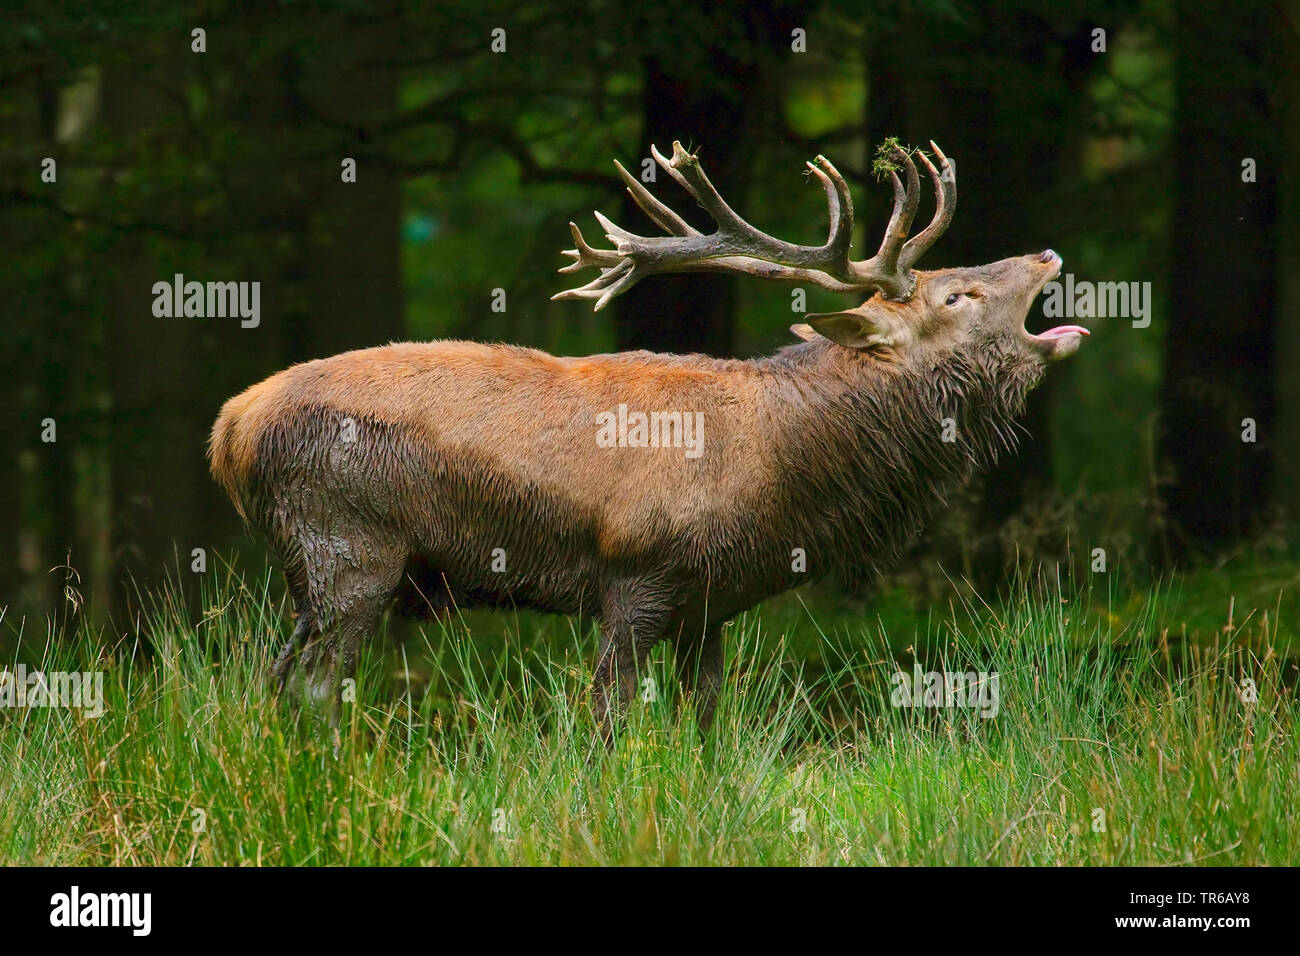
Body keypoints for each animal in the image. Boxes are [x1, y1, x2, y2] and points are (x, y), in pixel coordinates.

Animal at [208, 138, 1087, 734]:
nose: (1048, 251)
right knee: (315, 687)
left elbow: (706, 720)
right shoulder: (634, 573)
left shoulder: (713, 602)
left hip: (309, 571)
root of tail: (229, 430)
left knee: (271, 679)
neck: (782, 472)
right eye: (955, 293)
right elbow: (612, 716)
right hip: (350, 547)